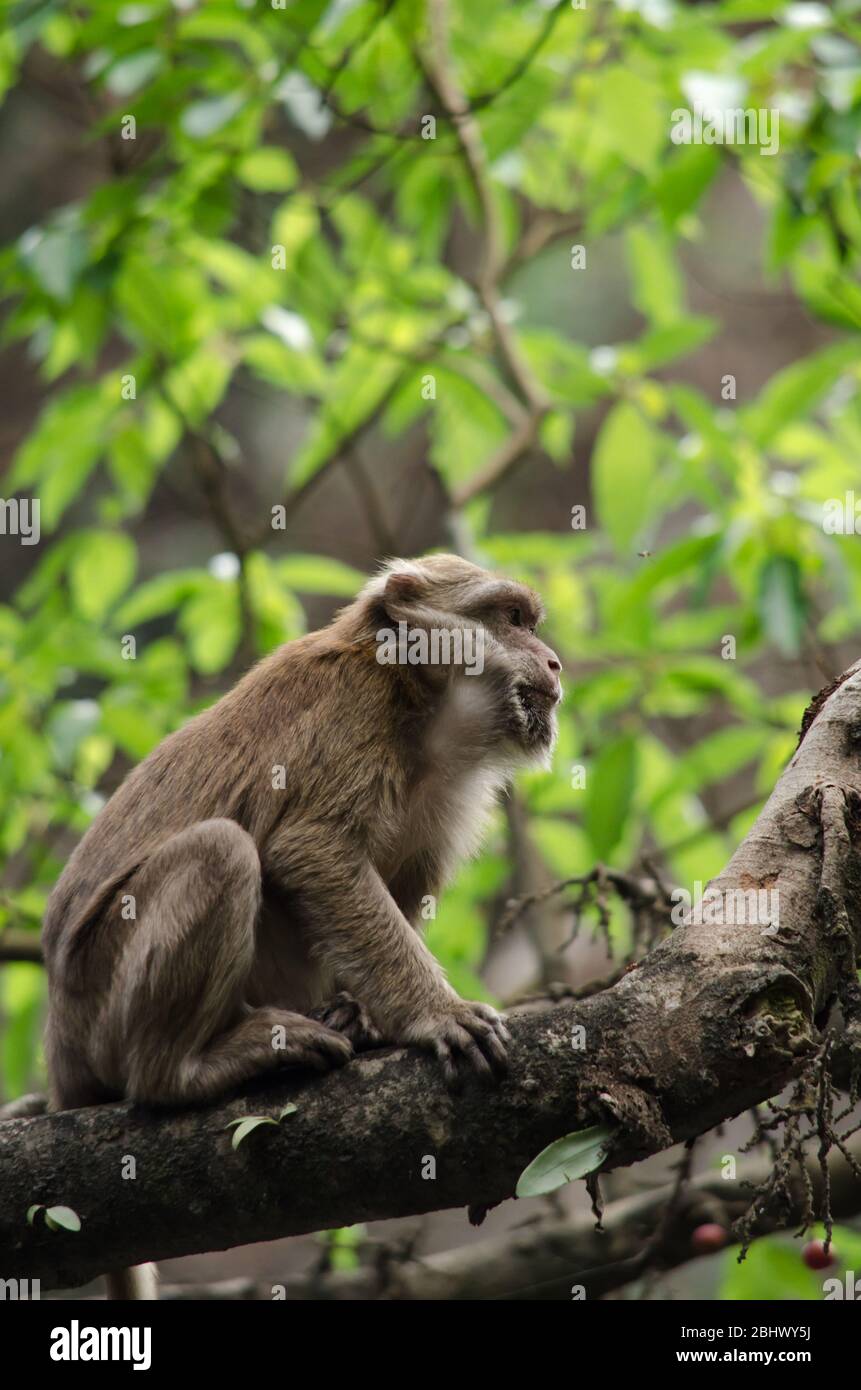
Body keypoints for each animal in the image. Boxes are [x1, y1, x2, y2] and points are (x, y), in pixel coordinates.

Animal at [42, 554, 562, 1294]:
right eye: (512, 619)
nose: (553, 662)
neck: (421, 704)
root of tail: (61, 1046)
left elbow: (404, 883)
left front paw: (365, 1013)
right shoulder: (352, 712)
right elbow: (312, 850)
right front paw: (437, 1014)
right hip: (100, 998)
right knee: (221, 852)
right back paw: (182, 1069)